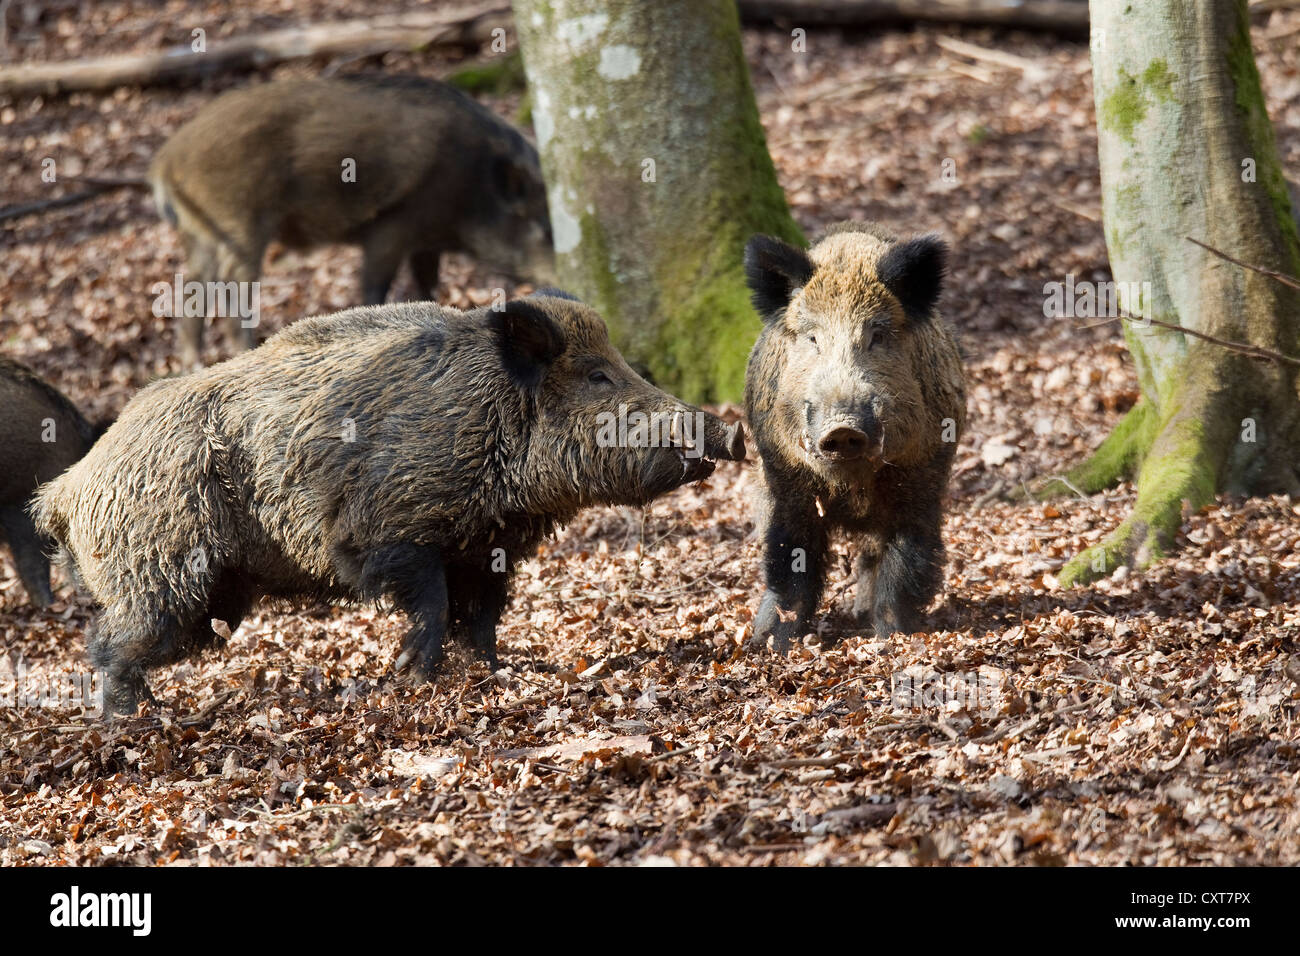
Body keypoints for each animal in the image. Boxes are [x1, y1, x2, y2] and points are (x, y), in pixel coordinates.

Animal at [33, 292, 745, 715]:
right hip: (164, 571)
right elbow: (430, 601)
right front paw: (414, 676)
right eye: (598, 376)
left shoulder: (487, 550)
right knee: (108, 641)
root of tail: (65, 491)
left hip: (215, 597)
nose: (727, 431)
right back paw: (134, 721)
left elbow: (481, 617)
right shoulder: (384, 530)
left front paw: (492, 674)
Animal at [148, 74, 555, 365]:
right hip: (241, 225)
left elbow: (427, 285)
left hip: (200, 234)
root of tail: (166, 160)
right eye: (541, 227)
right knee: (231, 292)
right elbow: (375, 289)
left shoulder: (426, 241)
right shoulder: (392, 227)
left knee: (192, 290)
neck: (472, 185)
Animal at [742, 223, 966, 647]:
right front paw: (777, 643)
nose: (843, 426)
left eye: (877, 335)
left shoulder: (922, 477)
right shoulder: (784, 476)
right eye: (812, 338)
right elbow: (790, 556)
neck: (852, 484)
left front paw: (893, 638)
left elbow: (905, 561)